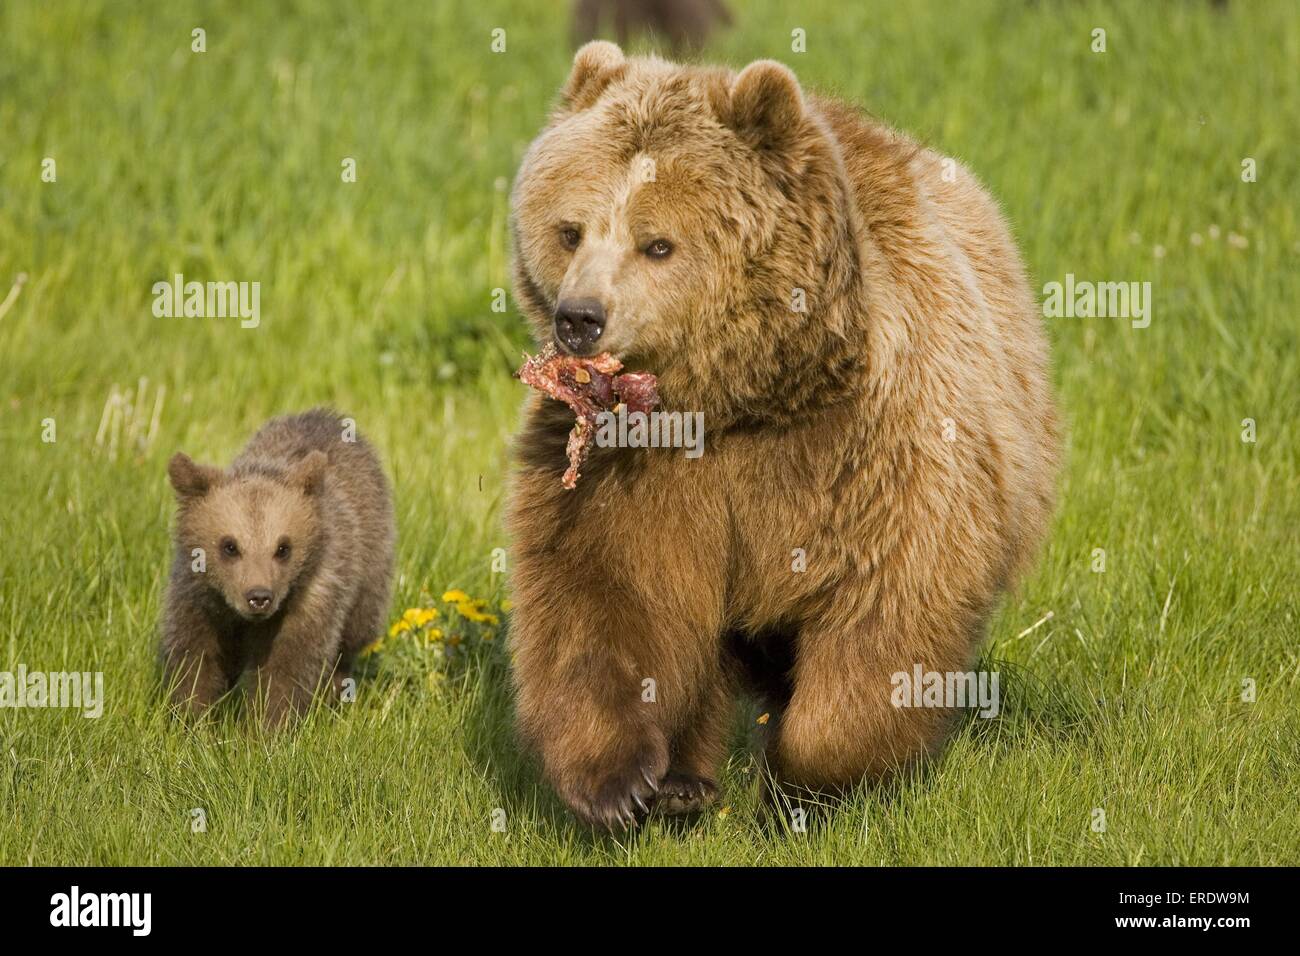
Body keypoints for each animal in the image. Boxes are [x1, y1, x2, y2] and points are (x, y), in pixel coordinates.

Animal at [160, 408, 396, 728]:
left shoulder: (311, 599)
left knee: (352, 638)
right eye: (229, 545)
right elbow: (195, 657)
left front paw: (266, 728)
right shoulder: (198, 597)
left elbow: (285, 670)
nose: (259, 596)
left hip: (369, 574)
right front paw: (191, 719)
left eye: (283, 547)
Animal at [506, 42, 1059, 829]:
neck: (733, 407)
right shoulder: (629, 472)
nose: (580, 317)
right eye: (570, 230)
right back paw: (687, 781)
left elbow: (888, 603)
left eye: (657, 244)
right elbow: (606, 595)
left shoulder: (871, 444)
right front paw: (621, 784)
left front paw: (804, 780)